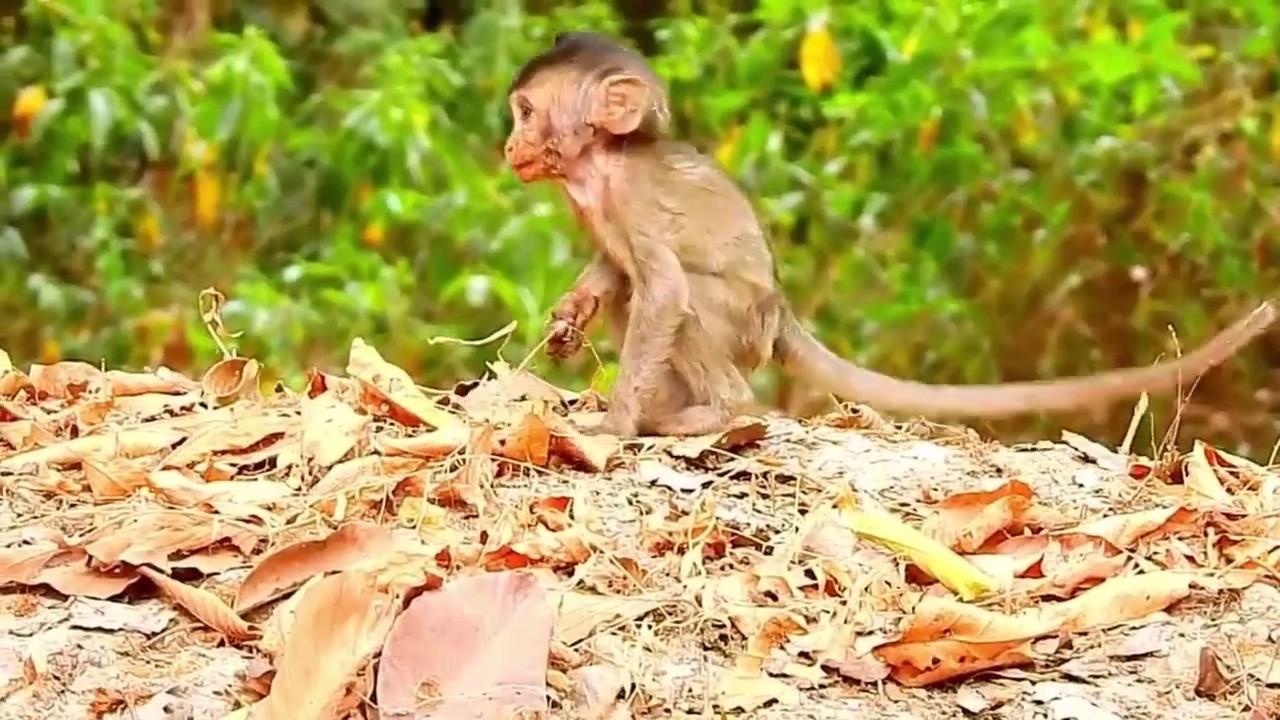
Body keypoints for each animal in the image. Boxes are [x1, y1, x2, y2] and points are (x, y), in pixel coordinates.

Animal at [503, 31, 1279, 439]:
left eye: (525, 111)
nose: (508, 144)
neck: (600, 164)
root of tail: (781, 312)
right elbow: (616, 271)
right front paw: (571, 316)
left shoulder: (629, 197)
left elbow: (661, 288)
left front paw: (614, 426)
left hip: (744, 324)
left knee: (684, 300)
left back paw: (719, 412)